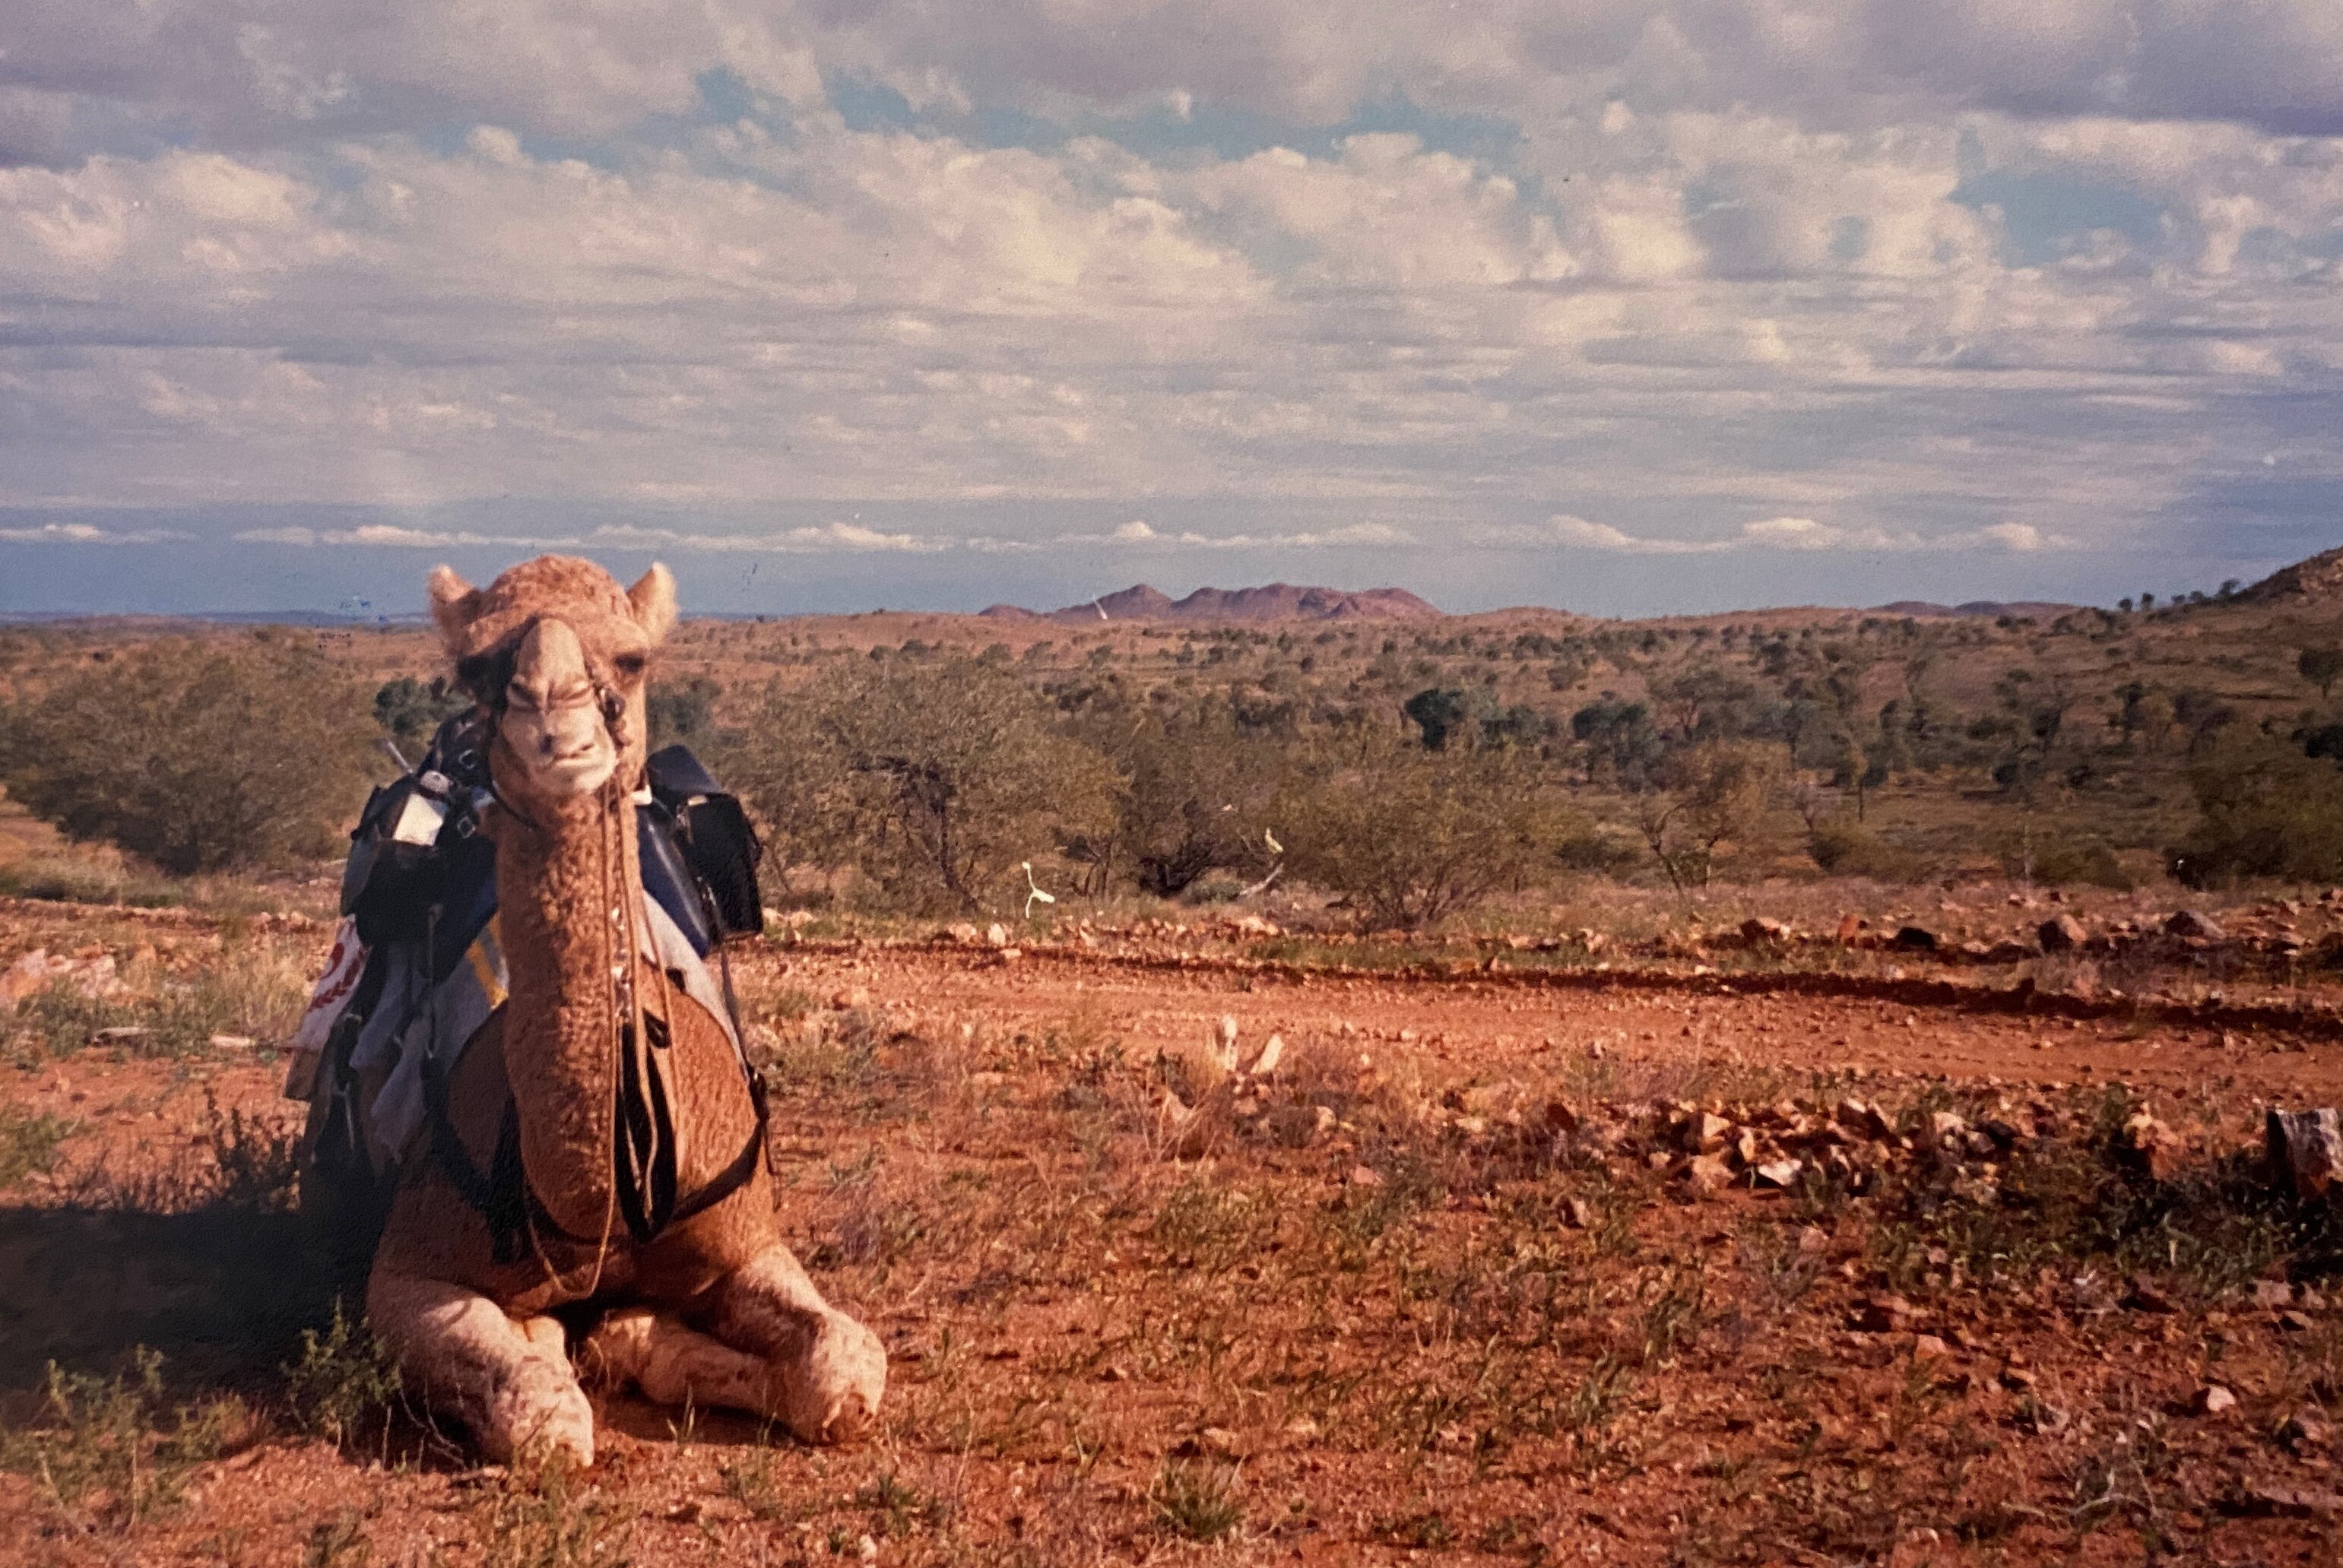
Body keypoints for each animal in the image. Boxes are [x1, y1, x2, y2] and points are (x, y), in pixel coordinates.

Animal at [362, 554, 884, 1466]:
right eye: (477, 664)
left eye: (633, 658)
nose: (557, 731)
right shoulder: (404, 1265)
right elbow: (541, 1418)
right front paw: (571, 1346)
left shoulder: (746, 1238)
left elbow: (842, 1371)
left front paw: (633, 1334)